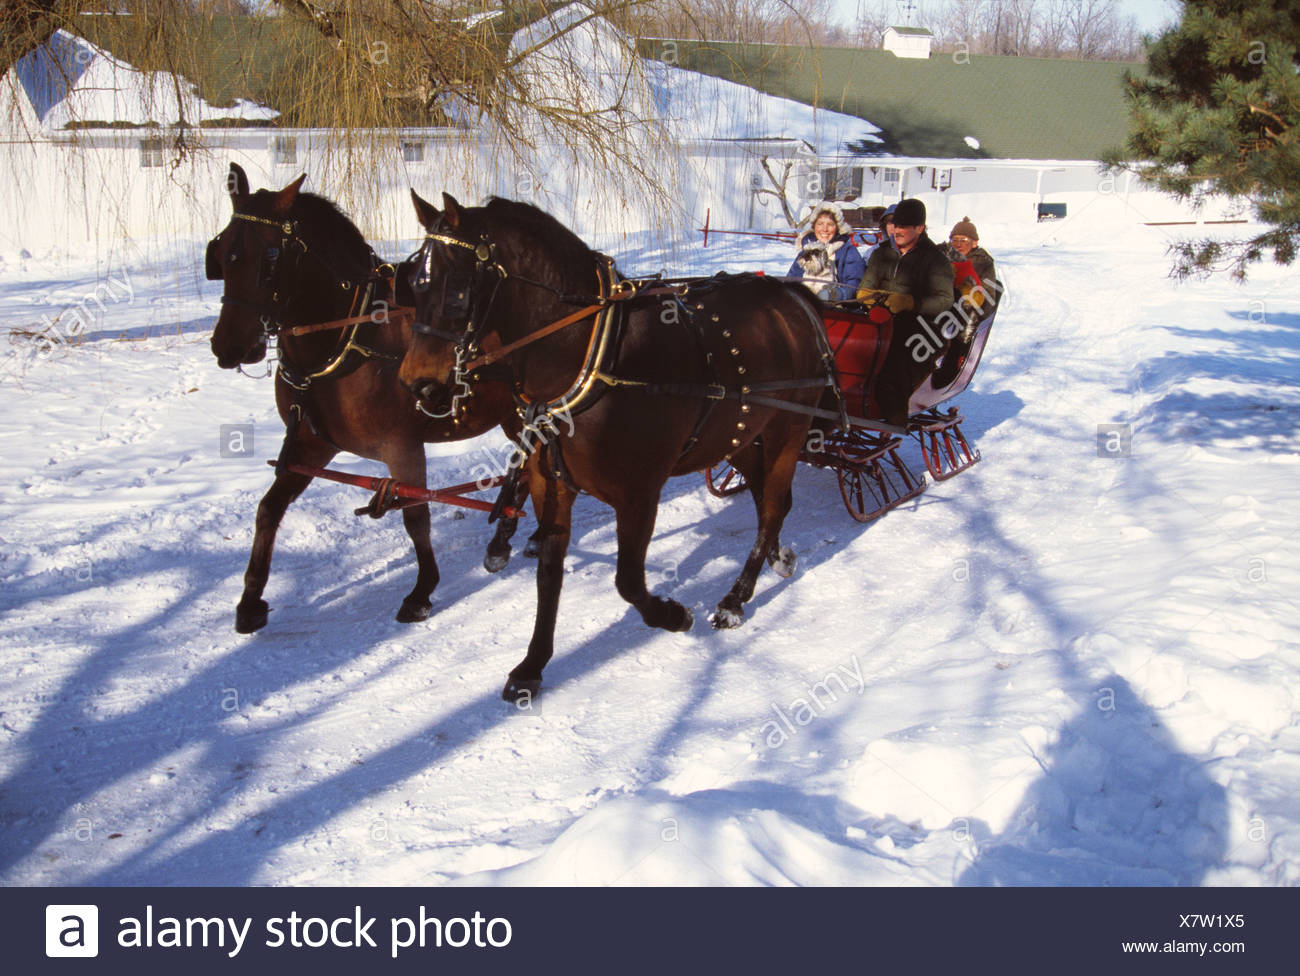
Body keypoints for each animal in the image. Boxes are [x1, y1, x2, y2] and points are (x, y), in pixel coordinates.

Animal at [207, 163, 526, 633]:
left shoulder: (402, 445)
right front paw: (250, 600)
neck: (350, 338)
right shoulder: (311, 445)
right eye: (221, 250)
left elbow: (415, 514)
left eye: (271, 257)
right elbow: (269, 508)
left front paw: (421, 591)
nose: (227, 346)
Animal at [396, 192, 837, 701]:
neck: (591, 355)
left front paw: (672, 614)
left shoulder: (639, 494)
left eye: (459, 287)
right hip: (739, 434)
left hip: (789, 429)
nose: (417, 385)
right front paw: (533, 665)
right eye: (413, 284)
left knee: (771, 507)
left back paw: (736, 598)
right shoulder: (550, 483)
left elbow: (628, 581)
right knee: (771, 498)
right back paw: (777, 558)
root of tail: (793, 297)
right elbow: (549, 571)